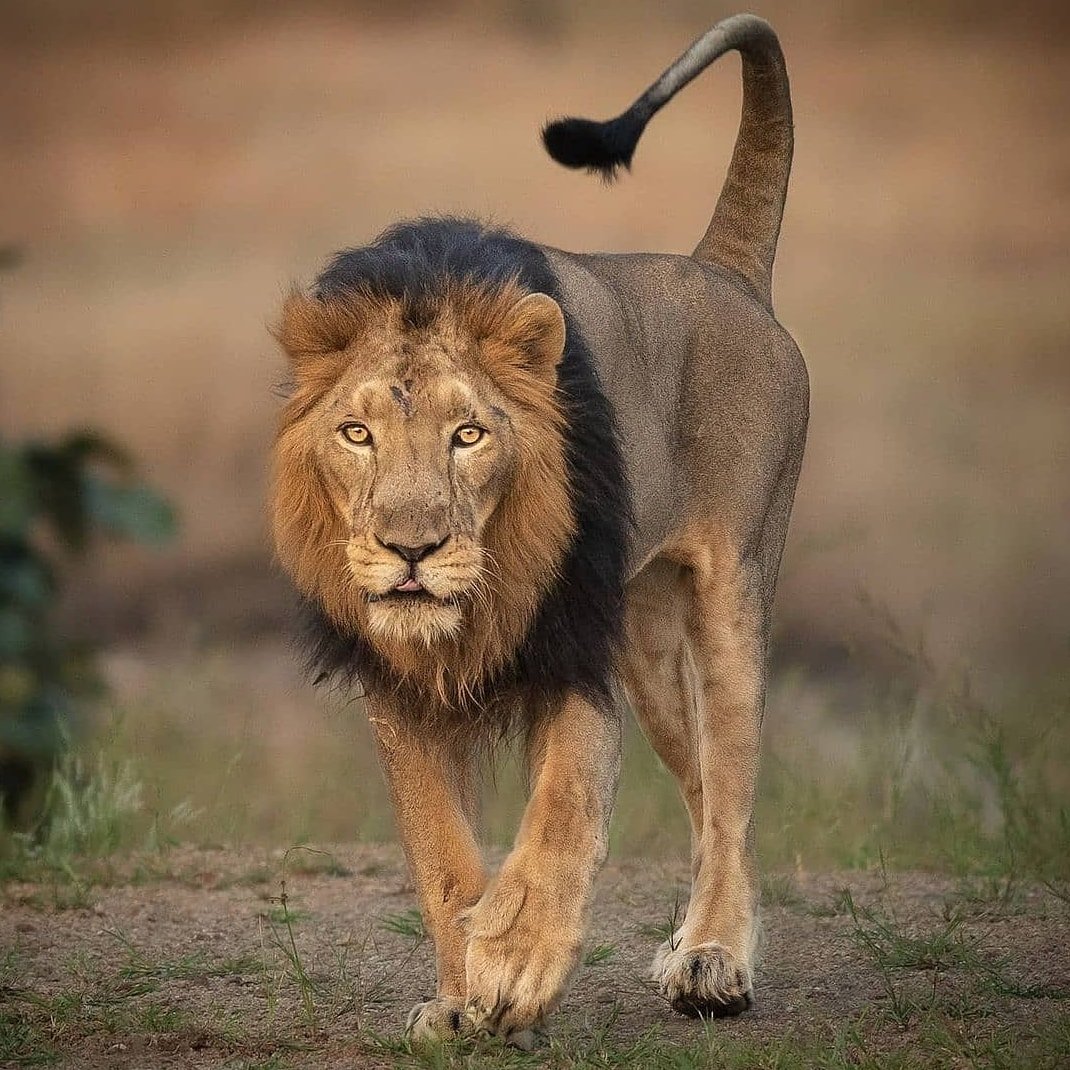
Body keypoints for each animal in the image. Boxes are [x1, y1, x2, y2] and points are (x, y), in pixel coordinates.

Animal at [270, 12, 807, 1045]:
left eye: (469, 434)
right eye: (357, 433)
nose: (410, 550)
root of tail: (721, 269)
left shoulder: (573, 643)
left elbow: (565, 805)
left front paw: (516, 964)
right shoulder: (398, 683)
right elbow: (439, 852)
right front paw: (456, 1000)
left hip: (733, 587)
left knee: (734, 792)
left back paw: (714, 959)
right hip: (647, 648)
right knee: (701, 783)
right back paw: (685, 949)